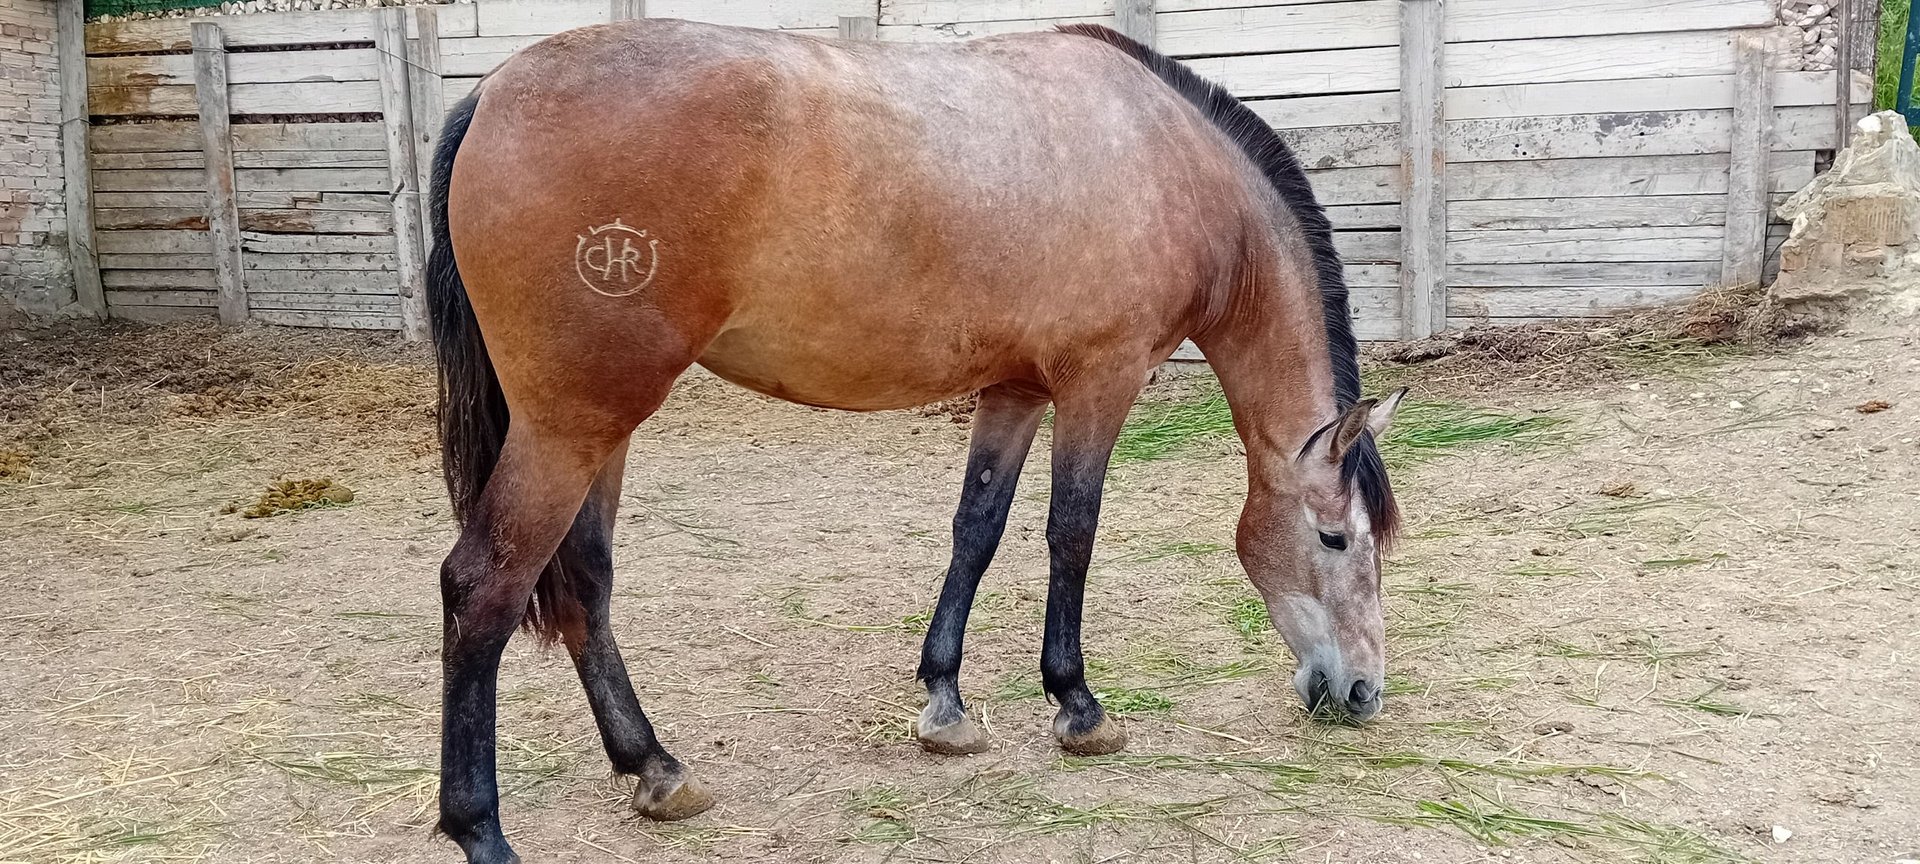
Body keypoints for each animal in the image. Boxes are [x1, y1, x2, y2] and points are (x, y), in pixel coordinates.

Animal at [426, 19, 1404, 863]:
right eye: (1334, 538)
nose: (1363, 691)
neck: (1170, 160)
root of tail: (493, 93)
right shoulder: (1101, 382)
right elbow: (1071, 534)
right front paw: (1078, 706)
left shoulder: (1015, 391)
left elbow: (977, 530)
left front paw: (946, 703)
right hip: (570, 429)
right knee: (483, 588)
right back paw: (482, 829)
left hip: (600, 429)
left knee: (586, 579)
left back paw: (655, 769)